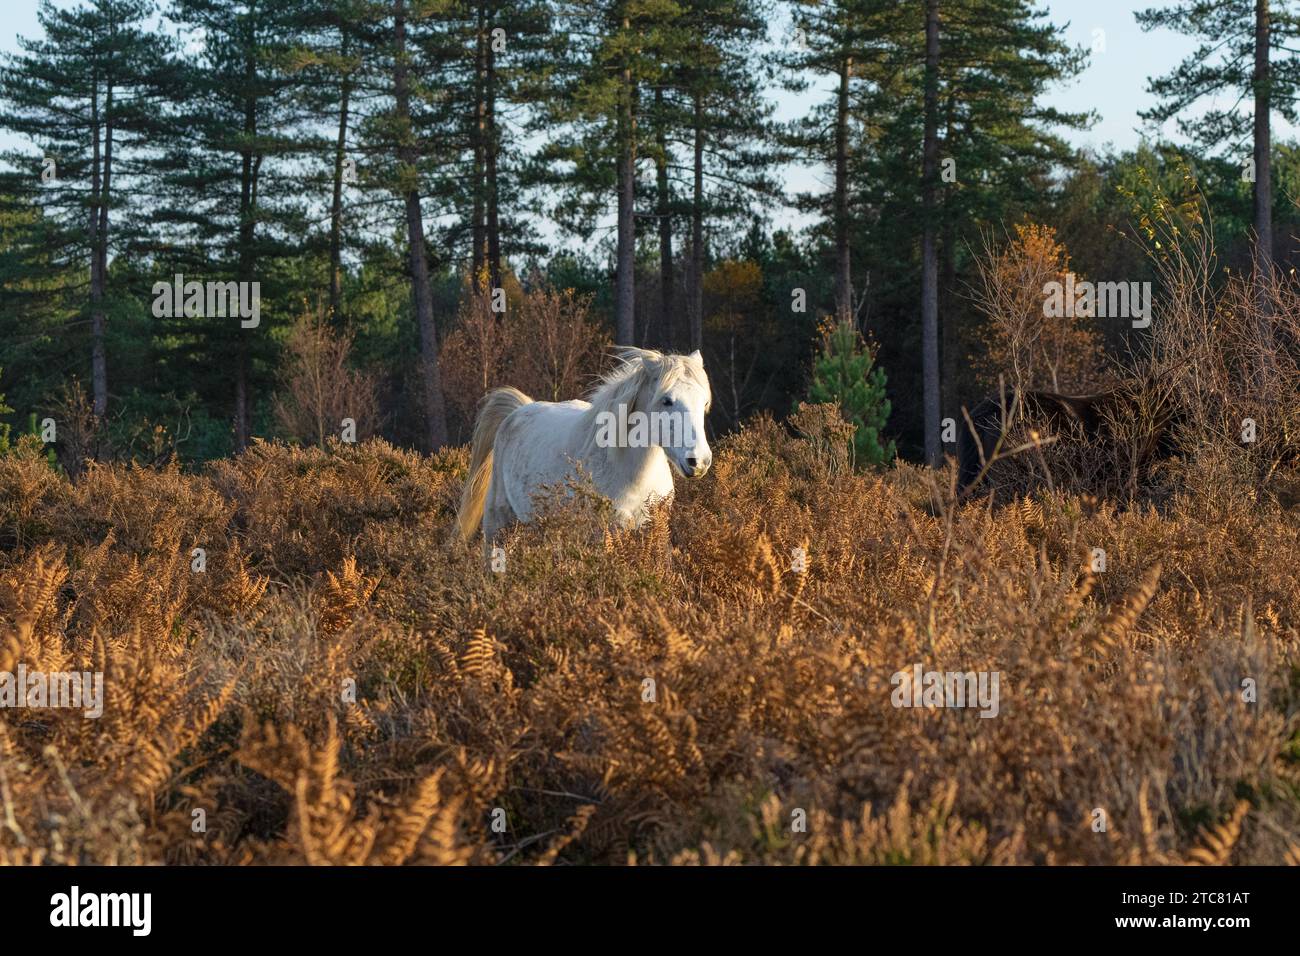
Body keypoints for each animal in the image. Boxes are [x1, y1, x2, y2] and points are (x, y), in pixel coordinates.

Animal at [455, 347, 713, 553]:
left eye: (704, 402)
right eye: (666, 400)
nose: (698, 461)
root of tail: (519, 410)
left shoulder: (655, 532)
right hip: (500, 525)